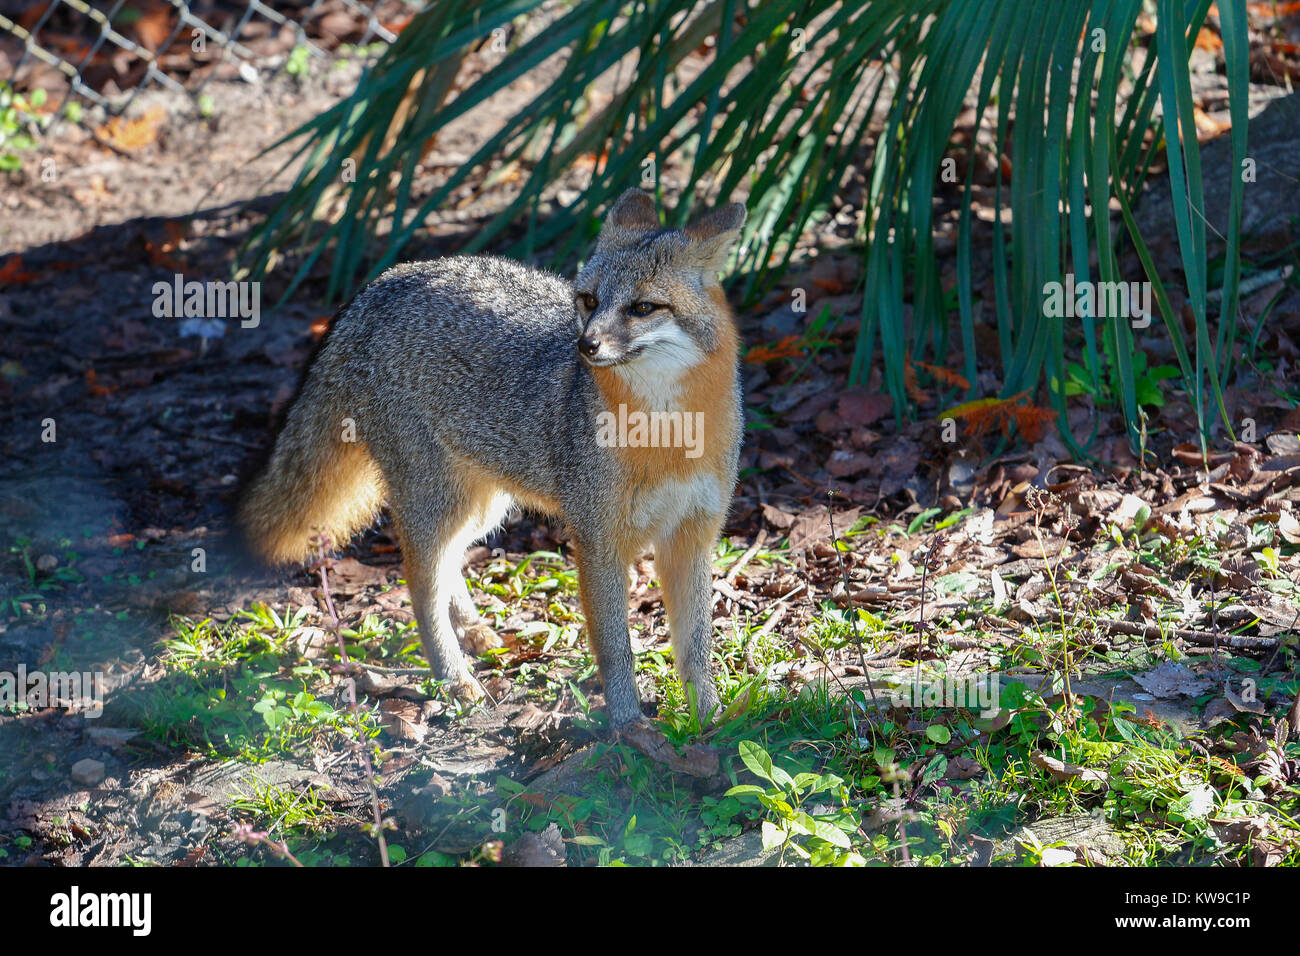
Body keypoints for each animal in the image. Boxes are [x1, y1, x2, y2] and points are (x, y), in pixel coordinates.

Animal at [238, 188, 746, 731]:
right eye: (589, 300)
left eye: (643, 307)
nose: (585, 344)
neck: (668, 433)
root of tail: (387, 281)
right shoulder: (599, 541)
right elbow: (616, 650)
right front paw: (629, 726)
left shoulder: (692, 535)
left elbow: (696, 646)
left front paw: (710, 719)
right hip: (443, 502)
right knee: (420, 581)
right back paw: (454, 676)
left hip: (483, 505)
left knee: (447, 563)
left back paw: (475, 631)